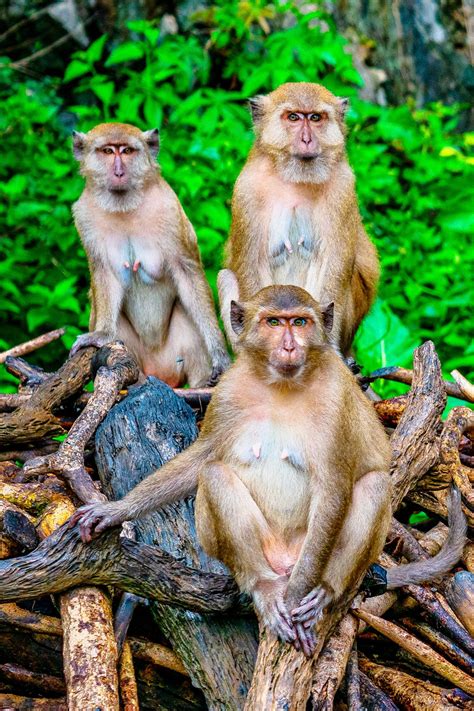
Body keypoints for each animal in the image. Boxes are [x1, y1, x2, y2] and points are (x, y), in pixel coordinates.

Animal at [69, 286, 466, 656]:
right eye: (274, 322)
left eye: (300, 322)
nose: (289, 346)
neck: (282, 385)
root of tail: (285, 562)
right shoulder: (227, 391)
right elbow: (202, 458)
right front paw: (115, 510)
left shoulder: (337, 399)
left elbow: (334, 487)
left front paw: (297, 600)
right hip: (257, 550)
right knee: (214, 475)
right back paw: (262, 585)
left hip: (313, 553)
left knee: (374, 486)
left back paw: (323, 591)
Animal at [70, 122, 230, 387]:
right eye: (107, 151)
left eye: (126, 150)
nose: (118, 172)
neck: (124, 205)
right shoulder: (84, 215)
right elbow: (104, 274)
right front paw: (101, 334)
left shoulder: (169, 209)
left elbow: (188, 274)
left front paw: (220, 354)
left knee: (188, 310)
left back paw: (200, 384)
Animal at [218, 82, 379, 358]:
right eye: (293, 117)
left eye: (315, 118)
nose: (306, 139)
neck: (295, 178)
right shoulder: (247, 187)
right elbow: (249, 266)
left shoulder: (343, 187)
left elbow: (335, 265)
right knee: (225, 276)